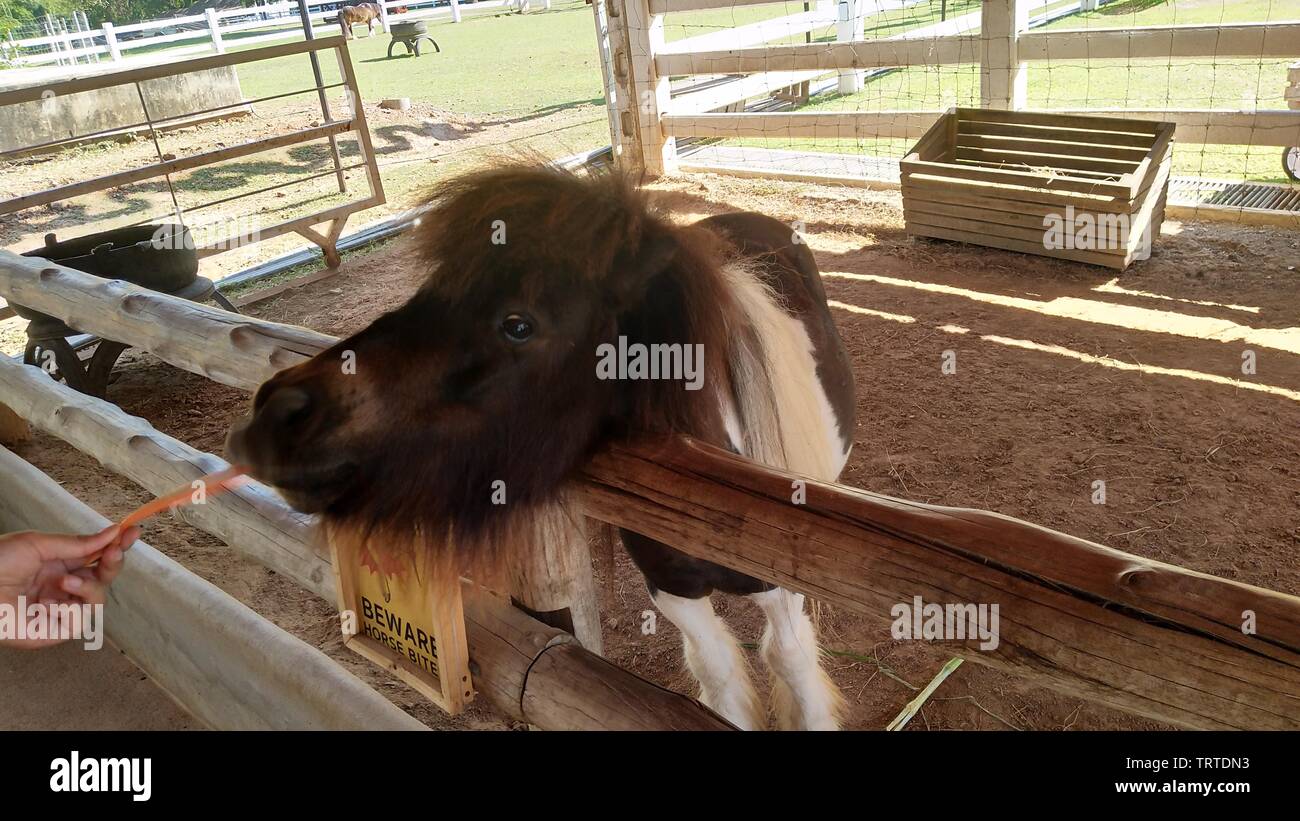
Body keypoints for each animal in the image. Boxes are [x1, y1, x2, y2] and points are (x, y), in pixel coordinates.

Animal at [227, 164, 857, 730]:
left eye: (519, 324)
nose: (276, 414)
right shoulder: (673, 592)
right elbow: (718, 675)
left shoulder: (783, 594)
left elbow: (791, 667)